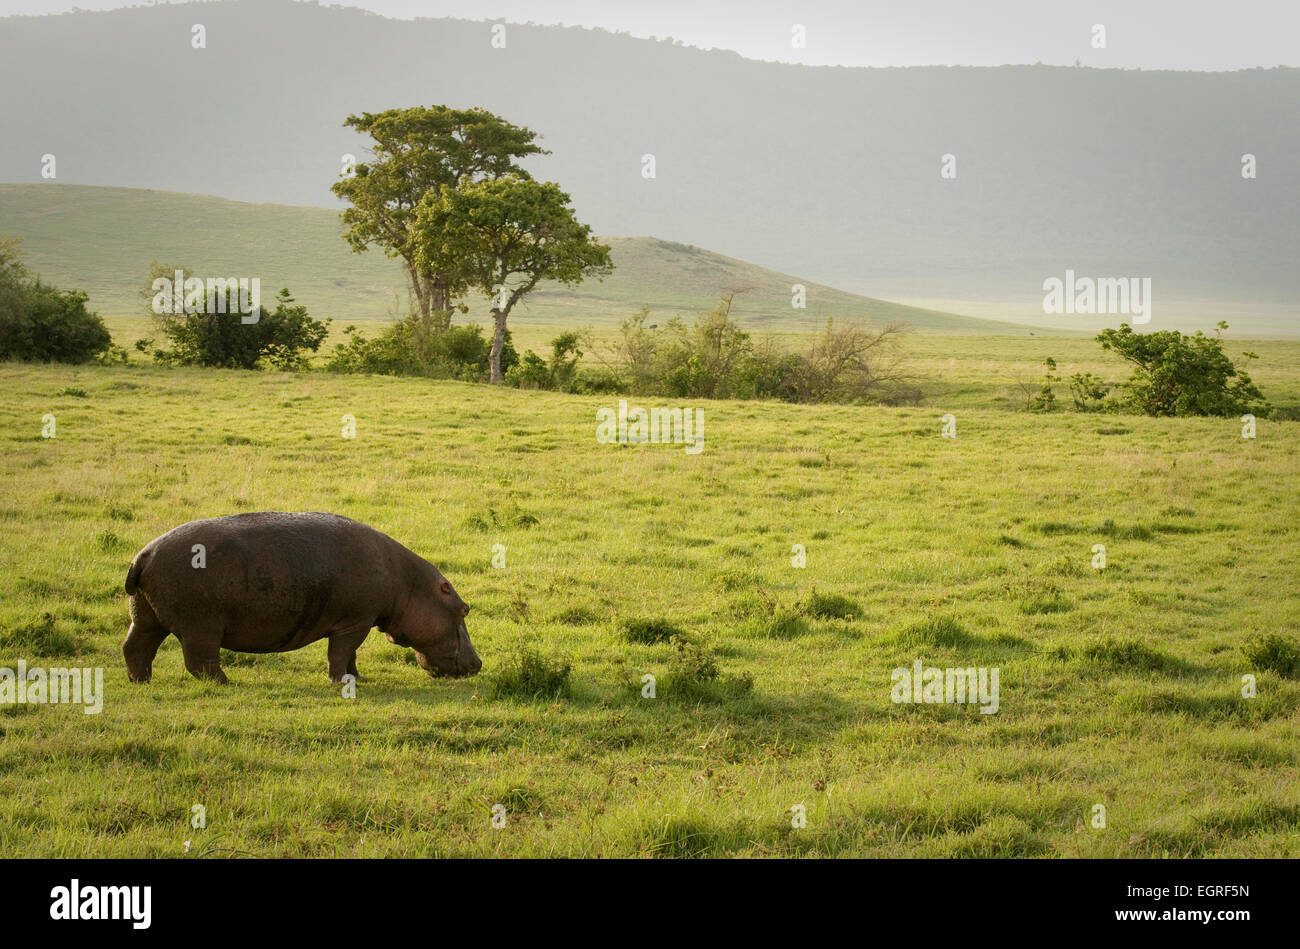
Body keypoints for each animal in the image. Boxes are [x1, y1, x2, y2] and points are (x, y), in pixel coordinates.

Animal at [122, 512, 480, 684]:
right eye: (464, 609)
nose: (479, 663)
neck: (409, 585)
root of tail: (144, 554)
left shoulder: (357, 622)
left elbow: (351, 655)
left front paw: (358, 678)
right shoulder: (355, 622)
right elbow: (341, 653)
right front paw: (340, 682)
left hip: (145, 615)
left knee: (135, 647)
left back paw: (141, 681)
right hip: (202, 627)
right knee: (200, 661)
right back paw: (226, 683)